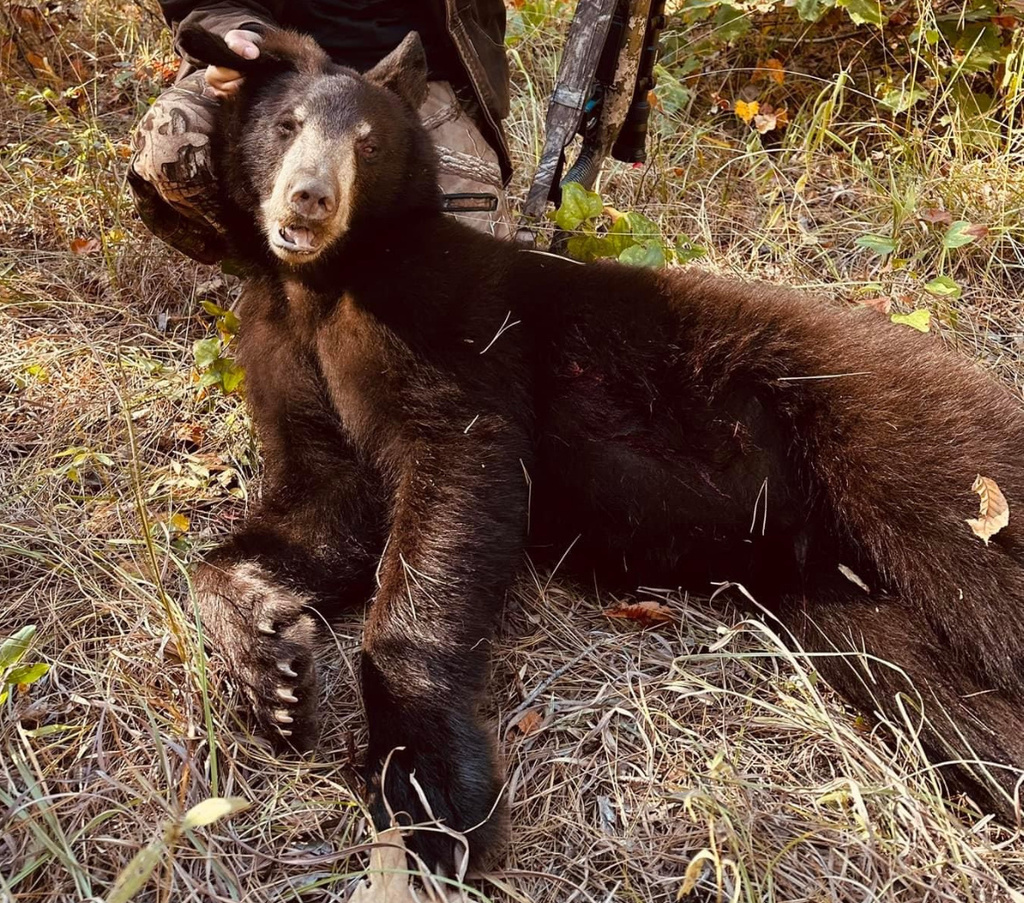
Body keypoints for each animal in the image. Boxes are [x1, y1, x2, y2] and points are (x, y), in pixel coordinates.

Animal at [177, 24, 1024, 872]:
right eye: (286, 125)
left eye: (369, 142)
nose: (308, 198)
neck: (326, 285)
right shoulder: (291, 356)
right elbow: (321, 506)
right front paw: (274, 670)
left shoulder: (455, 336)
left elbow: (455, 488)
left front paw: (432, 790)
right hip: (847, 603)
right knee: (945, 699)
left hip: (906, 450)